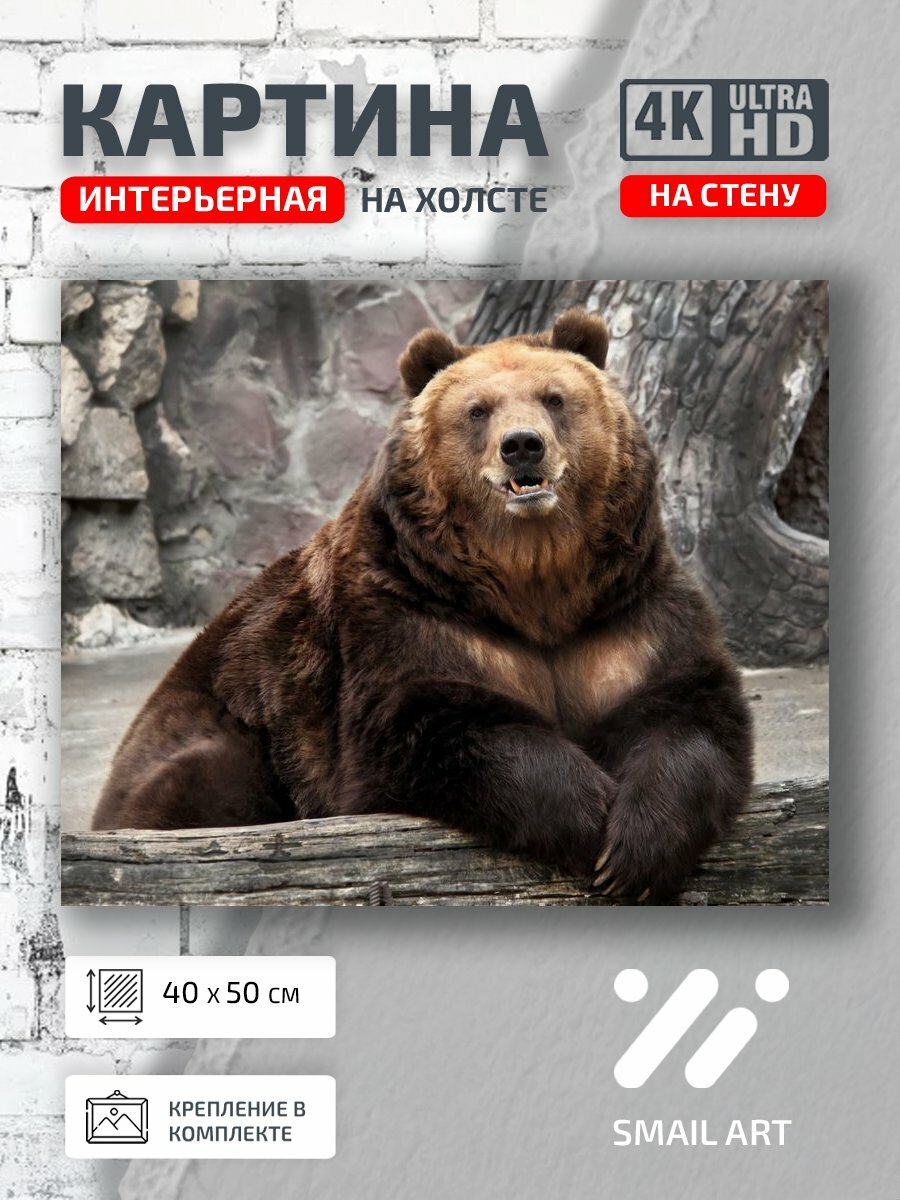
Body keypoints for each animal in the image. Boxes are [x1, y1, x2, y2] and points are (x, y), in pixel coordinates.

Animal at [93, 308, 753, 902]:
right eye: (478, 409)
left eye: (555, 398)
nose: (522, 446)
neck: (536, 584)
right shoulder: (412, 612)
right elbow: (435, 726)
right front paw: (589, 818)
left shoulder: (624, 617)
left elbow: (686, 713)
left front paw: (636, 851)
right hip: (230, 727)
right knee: (202, 783)